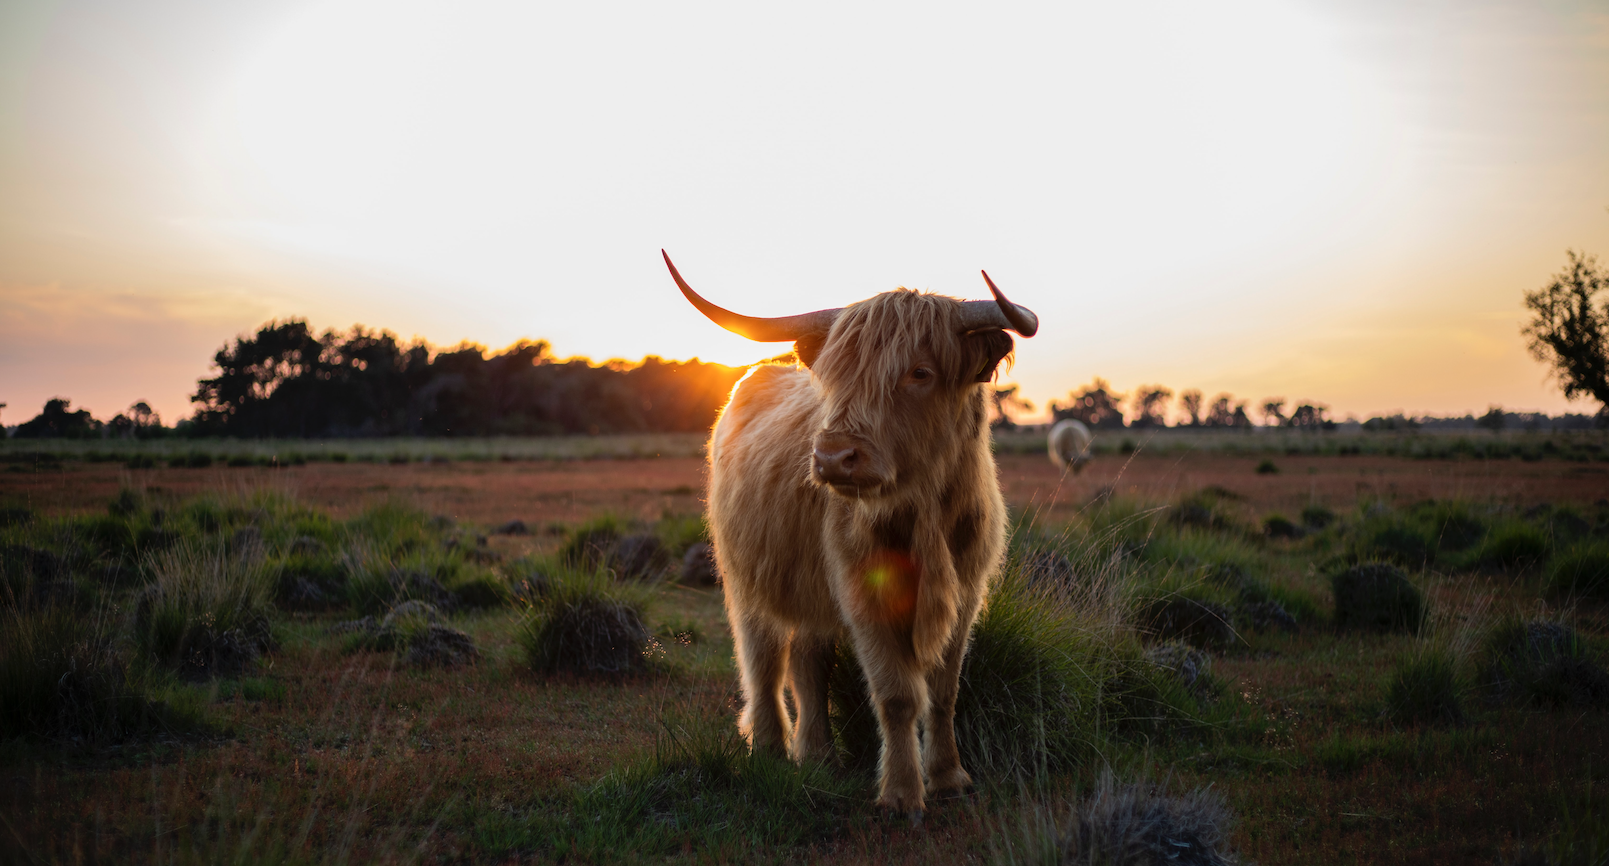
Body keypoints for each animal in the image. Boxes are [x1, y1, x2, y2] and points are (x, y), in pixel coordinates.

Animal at [662, 251, 1039, 821]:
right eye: (836, 375)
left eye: (920, 372)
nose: (833, 456)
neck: (924, 515)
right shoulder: (863, 591)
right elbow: (897, 693)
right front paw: (901, 795)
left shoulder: (967, 590)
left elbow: (944, 691)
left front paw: (949, 779)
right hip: (747, 579)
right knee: (763, 657)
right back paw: (770, 747)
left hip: (810, 585)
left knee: (807, 658)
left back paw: (818, 755)